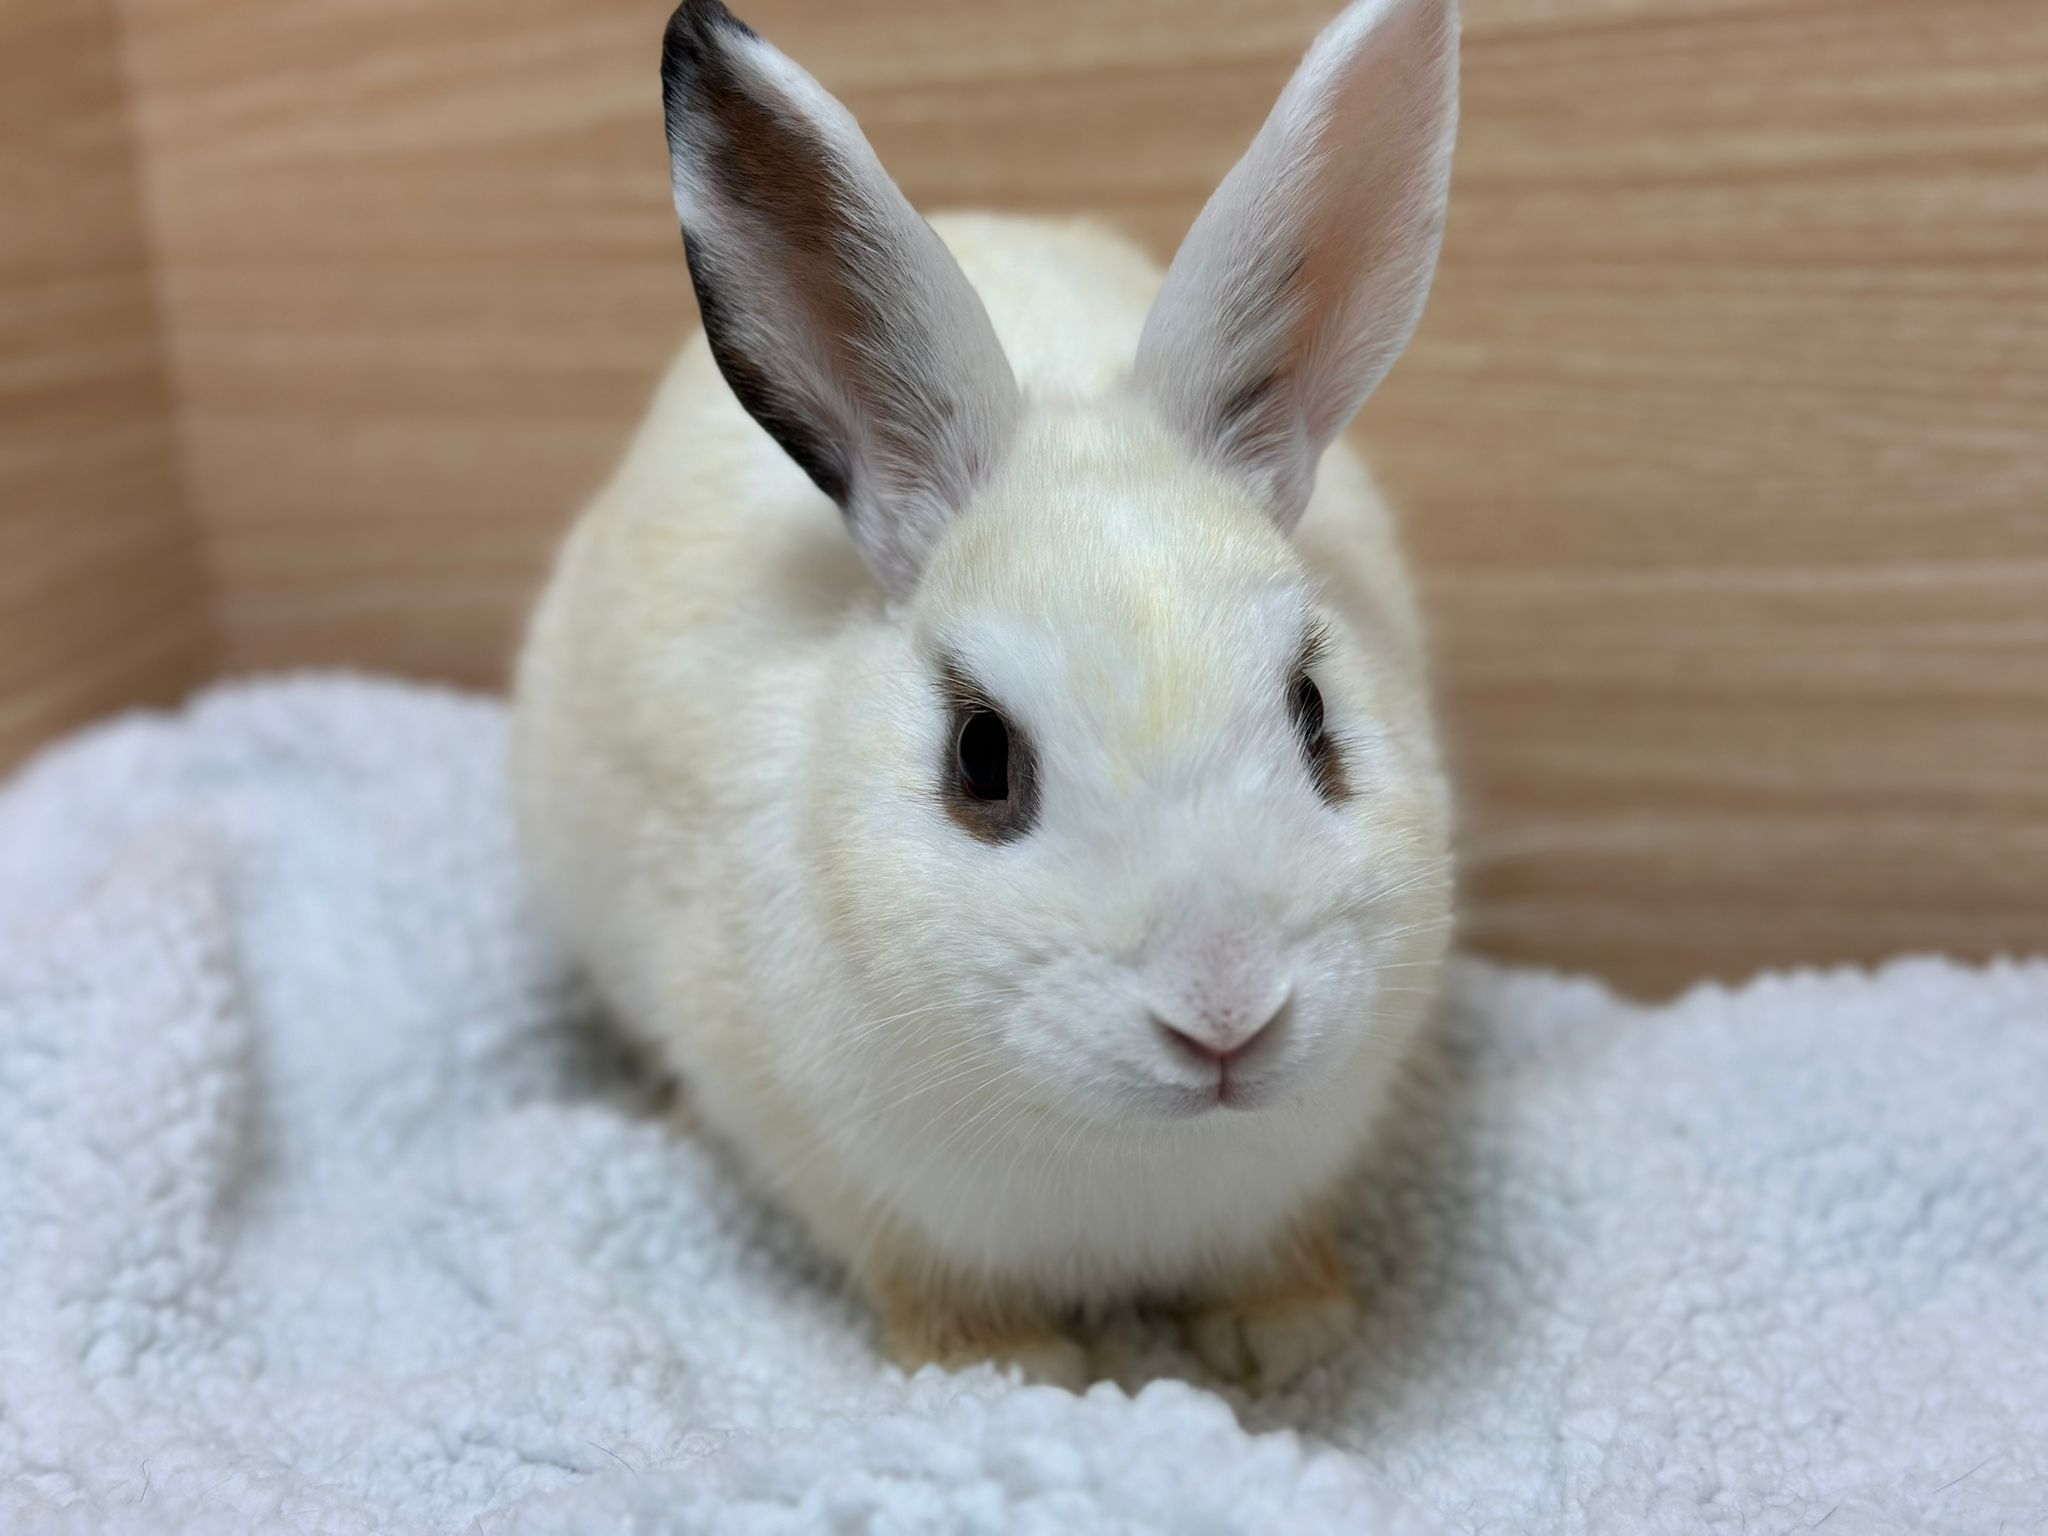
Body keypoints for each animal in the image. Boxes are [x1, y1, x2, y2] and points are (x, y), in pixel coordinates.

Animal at [513, 0, 1459, 1390]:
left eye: (1311, 710)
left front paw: (1286, 1339)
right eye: (978, 757)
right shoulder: (844, 1170)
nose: (1224, 1013)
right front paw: (1006, 1371)